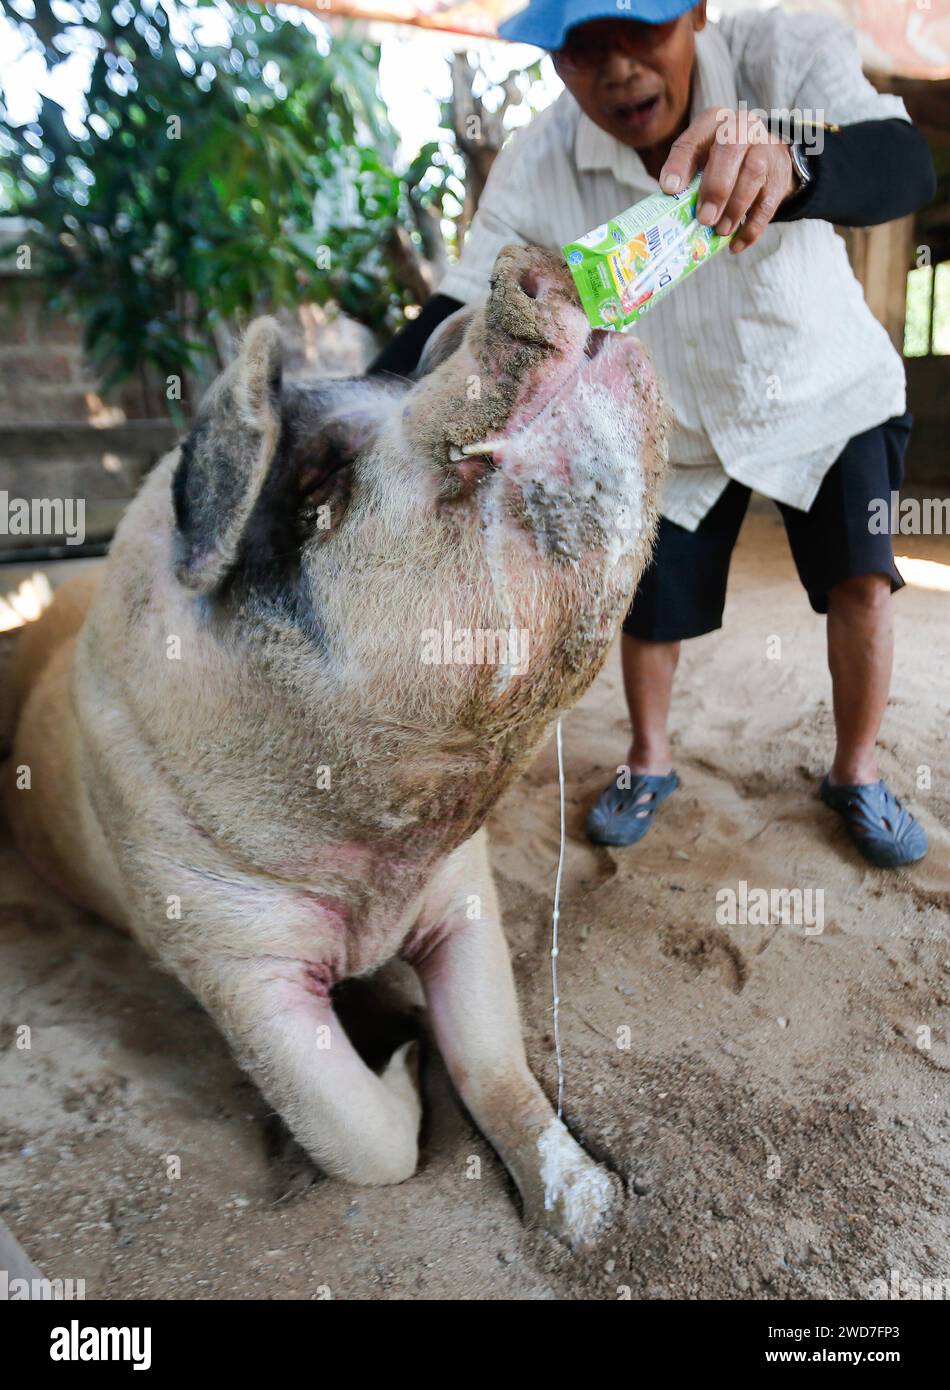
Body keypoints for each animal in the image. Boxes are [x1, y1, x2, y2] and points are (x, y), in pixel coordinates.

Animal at [6, 245, 666, 1248]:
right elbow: (359, 1137)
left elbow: (493, 1057)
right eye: (319, 486)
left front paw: (591, 1213)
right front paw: (400, 1058)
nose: (535, 261)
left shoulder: (464, 888)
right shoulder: (221, 947)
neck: (379, 882)